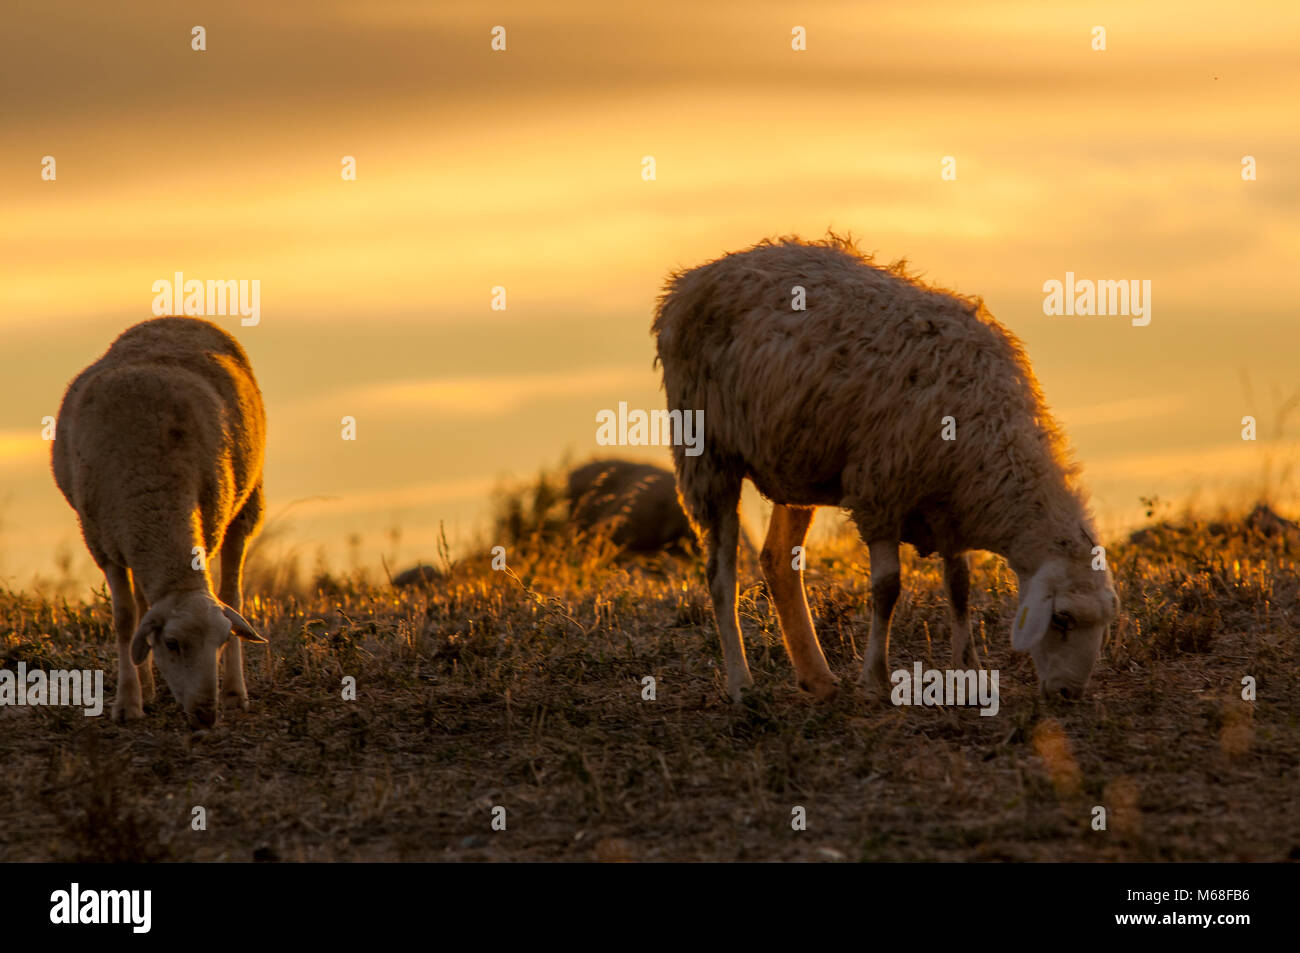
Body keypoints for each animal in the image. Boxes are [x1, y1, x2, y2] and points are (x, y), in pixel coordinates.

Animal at [52, 316, 267, 728]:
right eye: (172, 644)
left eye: (220, 641)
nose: (205, 715)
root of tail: (179, 318)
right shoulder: (101, 540)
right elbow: (125, 618)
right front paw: (129, 703)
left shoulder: (209, 524)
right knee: (142, 603)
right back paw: (150, 688)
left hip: (247, 504)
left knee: (232, 593)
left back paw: (235, 692)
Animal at [652, 236, 1118, 703]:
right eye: (1061, 619)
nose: (1069, 692)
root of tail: (691, 279)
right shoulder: (879, 491)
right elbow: (888, 588)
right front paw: (875, 677)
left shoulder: (948, 508)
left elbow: (960, 586)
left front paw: (968, 671)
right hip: (706, 453)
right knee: (720, 574)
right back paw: (741, 683)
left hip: (796, 463)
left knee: (778, 561)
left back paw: (817, 678)